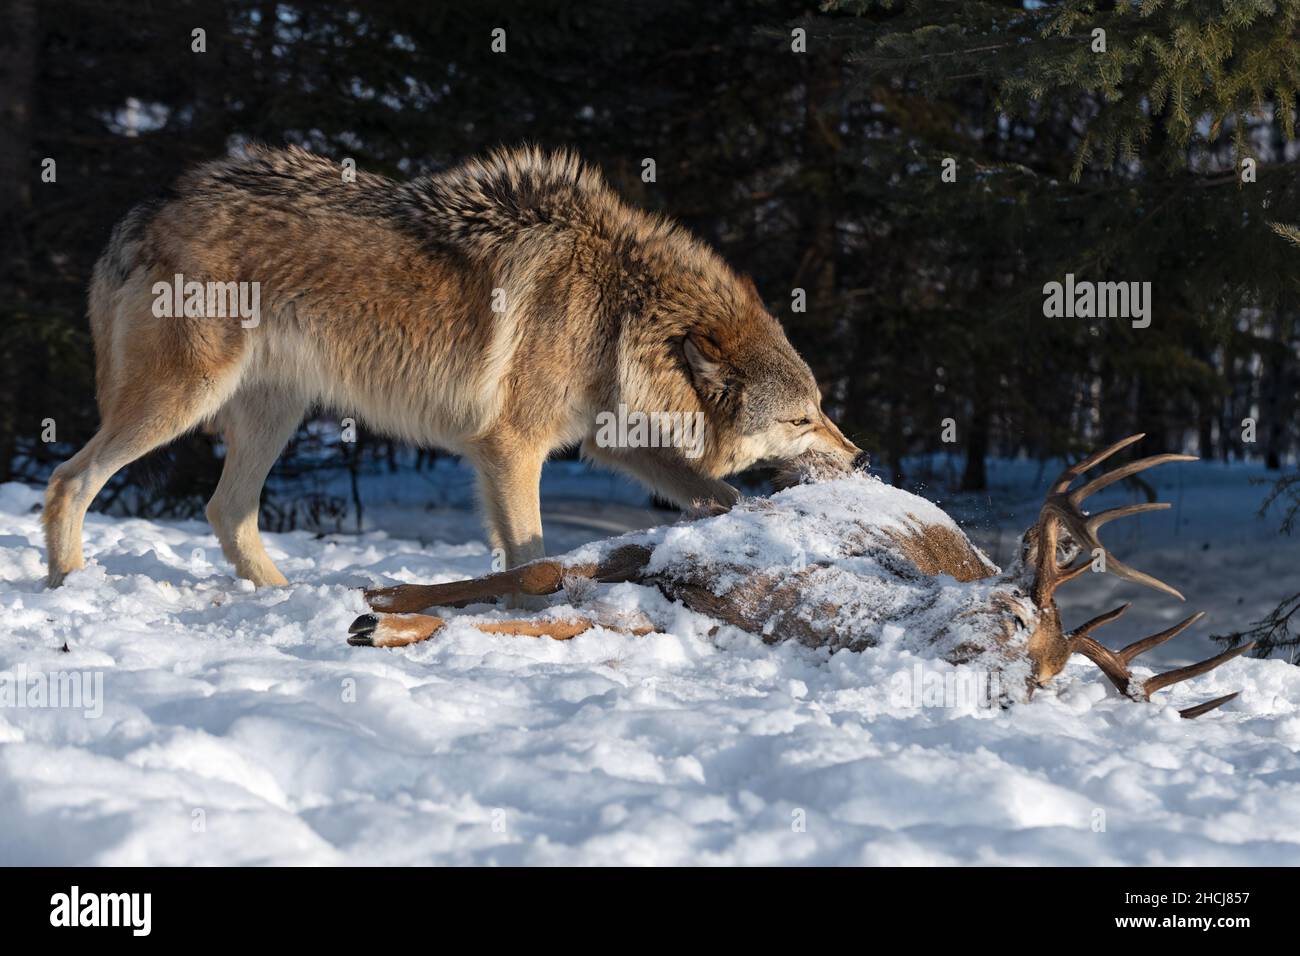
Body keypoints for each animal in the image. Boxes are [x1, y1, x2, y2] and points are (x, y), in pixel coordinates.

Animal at [44, 144, 866, 588]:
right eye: (802, 418)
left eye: (823, 409)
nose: (860, 460)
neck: (621, 308)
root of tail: (149, 206)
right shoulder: (510, 448)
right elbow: (530, 551)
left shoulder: (608, 440)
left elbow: (717, 494)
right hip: (182, 399)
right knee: (69, 480)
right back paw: (68, 586)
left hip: (274, 413)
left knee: (225, 510)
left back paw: (280, 597)